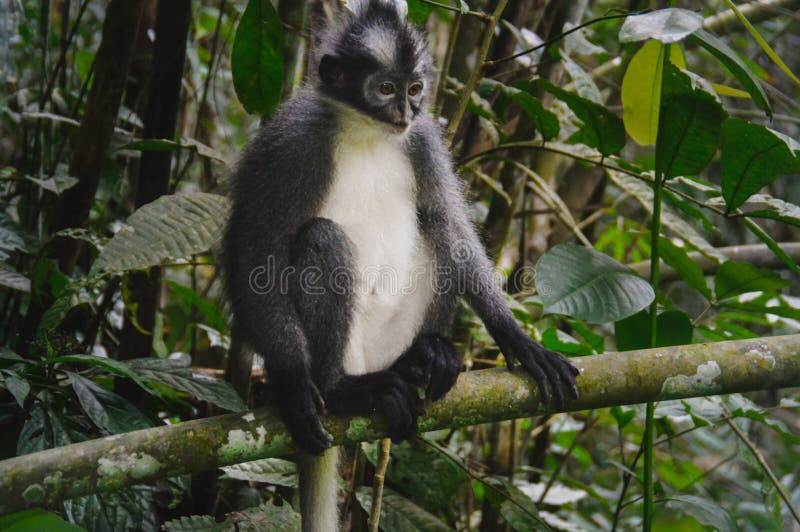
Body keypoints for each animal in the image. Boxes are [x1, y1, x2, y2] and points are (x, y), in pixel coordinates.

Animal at [222, 1, 579, 530]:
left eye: (414, 89)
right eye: (386, 89)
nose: (406, 111)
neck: (366, 129)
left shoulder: (424, 139)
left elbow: (450, 224)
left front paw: (516, 339)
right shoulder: (290, 145)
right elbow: (257, 253)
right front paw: (293, 385)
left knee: (435, 232)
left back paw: (424, 356)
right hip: (345, 348)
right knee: (320, 238)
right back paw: (341, 389)